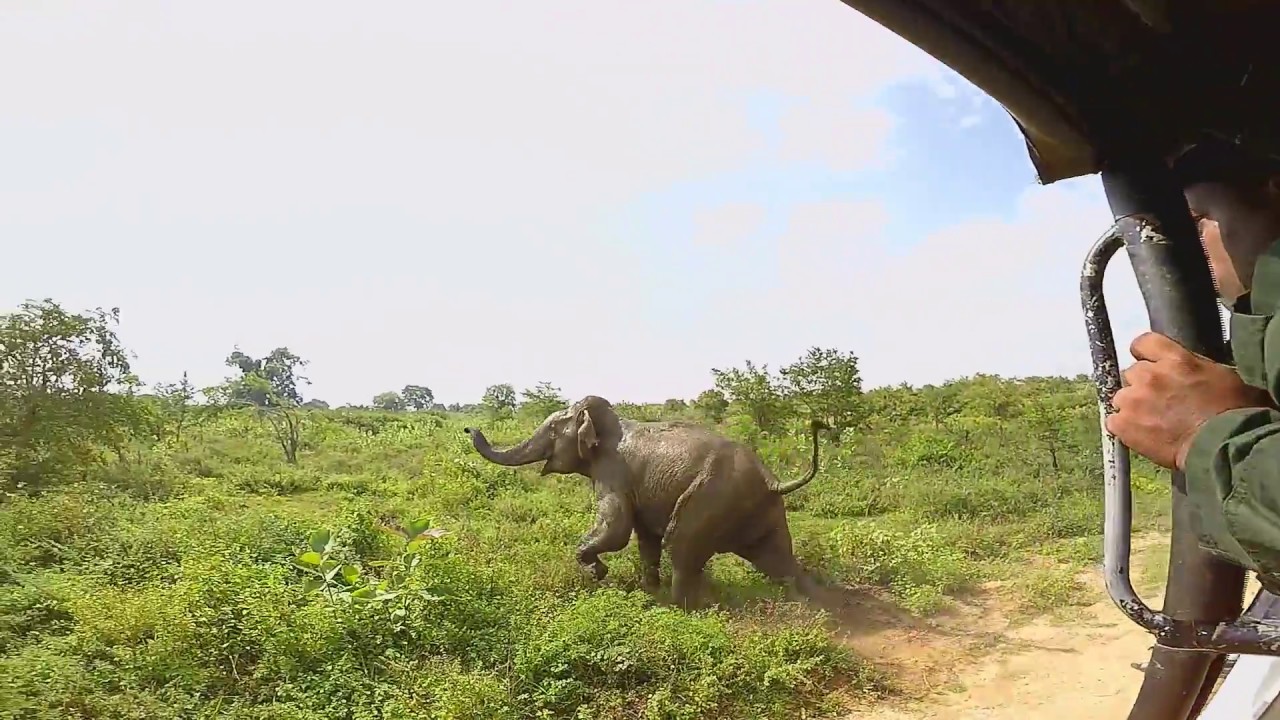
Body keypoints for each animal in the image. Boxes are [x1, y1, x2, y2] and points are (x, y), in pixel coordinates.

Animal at [463, 395, 827, 608]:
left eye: (552, 431)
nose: (468, 428)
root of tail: (771, 479)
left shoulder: (612, 471)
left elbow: (617, 528)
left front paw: (597, 572)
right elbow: (643, 537)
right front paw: (645, 590)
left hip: (712, 497)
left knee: (681, 546)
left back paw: (682, 609)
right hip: (761, 509)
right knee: (777, 557)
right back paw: (814, 607)